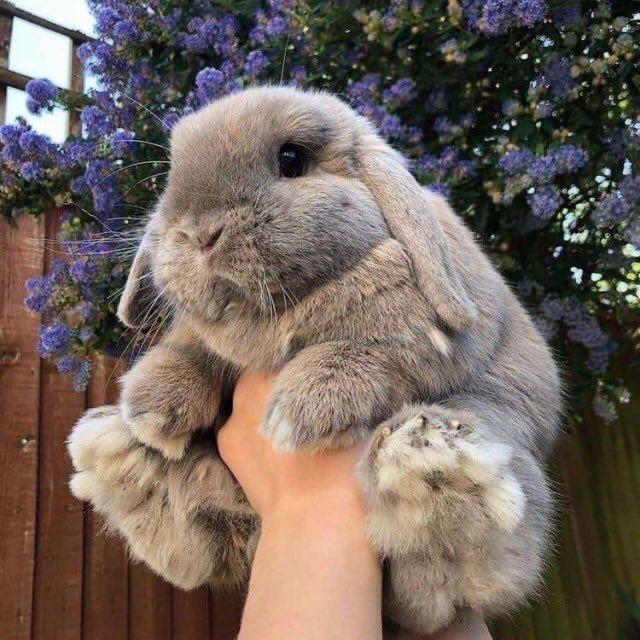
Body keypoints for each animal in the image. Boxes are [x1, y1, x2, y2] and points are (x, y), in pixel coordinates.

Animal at [68, 85, 561, 636]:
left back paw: (428, 471)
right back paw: (126, 460)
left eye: (291, 159)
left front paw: (301, 410)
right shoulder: (208, 339)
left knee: (447, 575)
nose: (198, 234)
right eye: (170, 176)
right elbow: (193, 347)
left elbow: (374, 352)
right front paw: (152, 407)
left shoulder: (426, 340)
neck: (276, 312)